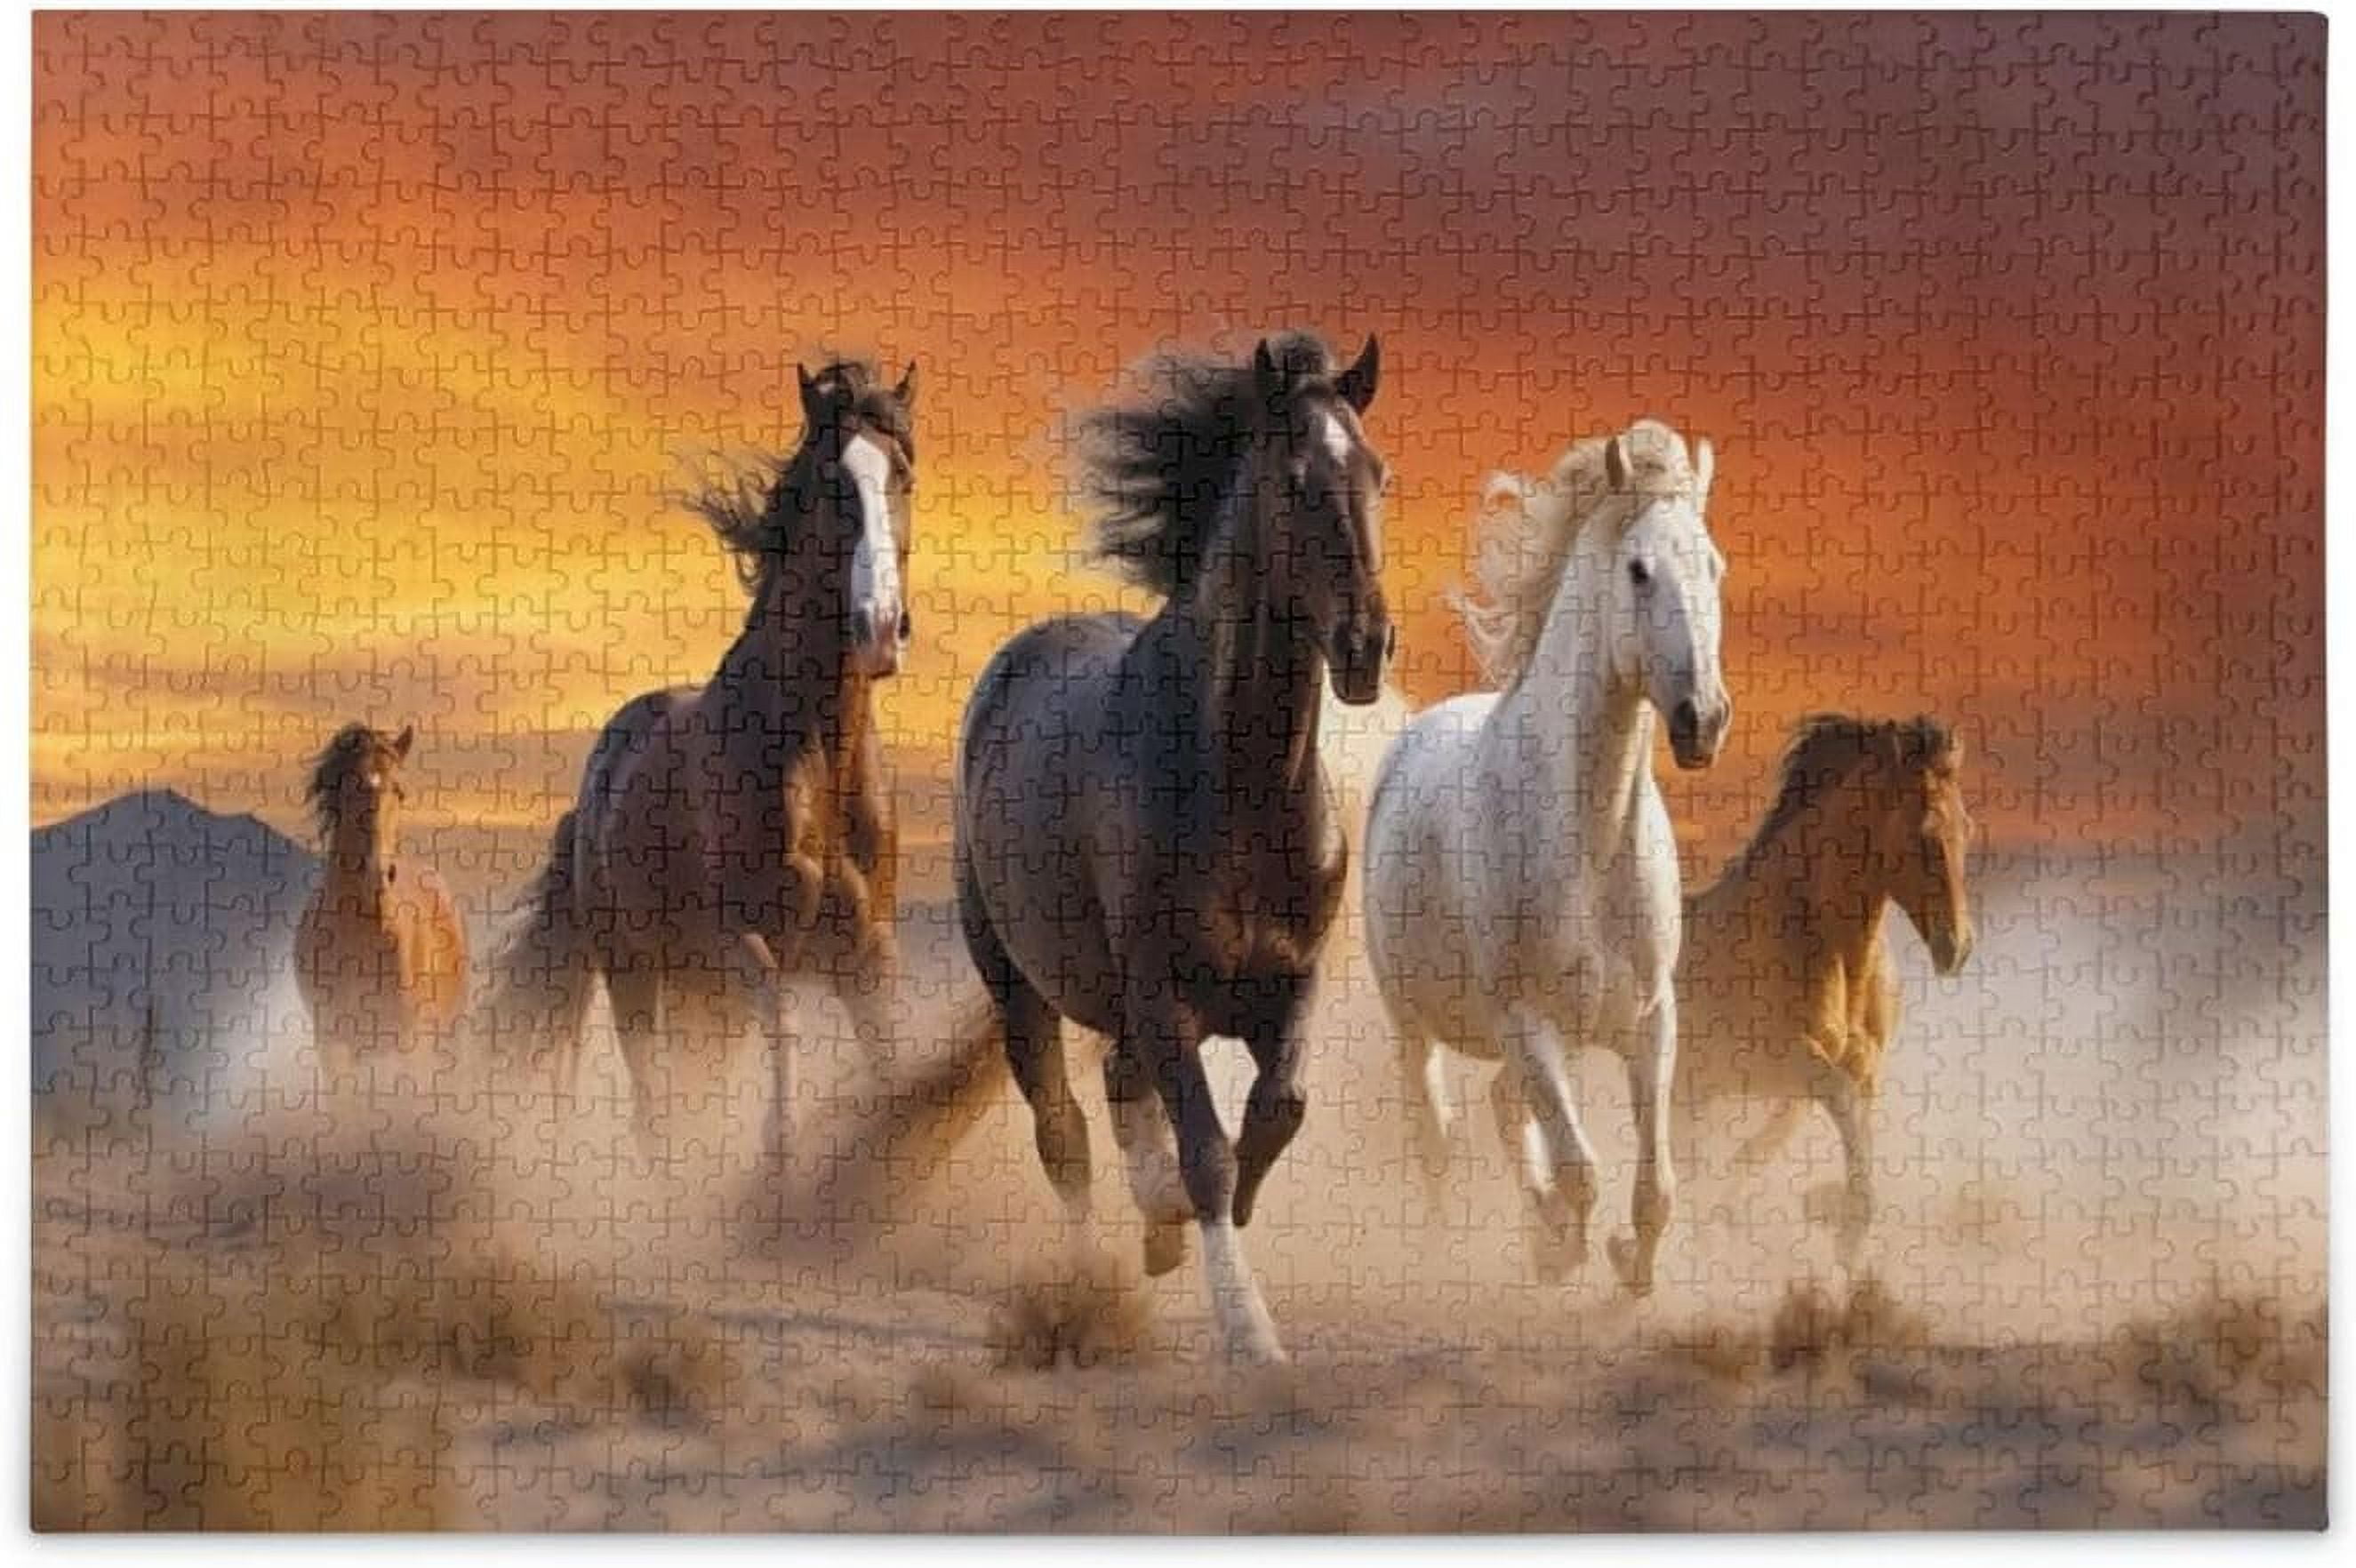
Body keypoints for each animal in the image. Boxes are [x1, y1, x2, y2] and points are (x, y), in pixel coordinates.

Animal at [488, 358, 917, 1170]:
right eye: (830, 480)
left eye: (903, 476)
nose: (880, 629)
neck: (816, 757)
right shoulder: (746, 945)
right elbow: (781, 1072)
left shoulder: (868, 959)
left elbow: (892, 1079)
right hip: (638, 972)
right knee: (655, 1112)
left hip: (699, 997)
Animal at [954, 333, 1389, 1365]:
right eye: (1296, 482)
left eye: (1378, 475)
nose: (1368, 647)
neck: (1238, 788)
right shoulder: (1162, 995)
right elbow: (1206, 1151)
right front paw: (1249, 1331)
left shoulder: (1290, 982)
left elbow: (1274, 1114)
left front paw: (1186, 1230)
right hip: (1018, 987)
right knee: (1064, 1131)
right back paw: (1091, 1278)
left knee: (1117, 1088)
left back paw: (1151, 1229)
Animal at [1363, 421, 1731, 1294]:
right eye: (1638, 569)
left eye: (1714, 565)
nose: (1704, 721)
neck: (1587, 842)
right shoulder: (1529, 1023)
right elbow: (1581, 1171)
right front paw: (1564, 1248)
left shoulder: (1650, 1021)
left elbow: (1655, 1184)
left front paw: (1629, 1267)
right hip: (1415, 1028)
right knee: (1438, 1136)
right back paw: (1440, 1256)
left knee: (1503, 1107)